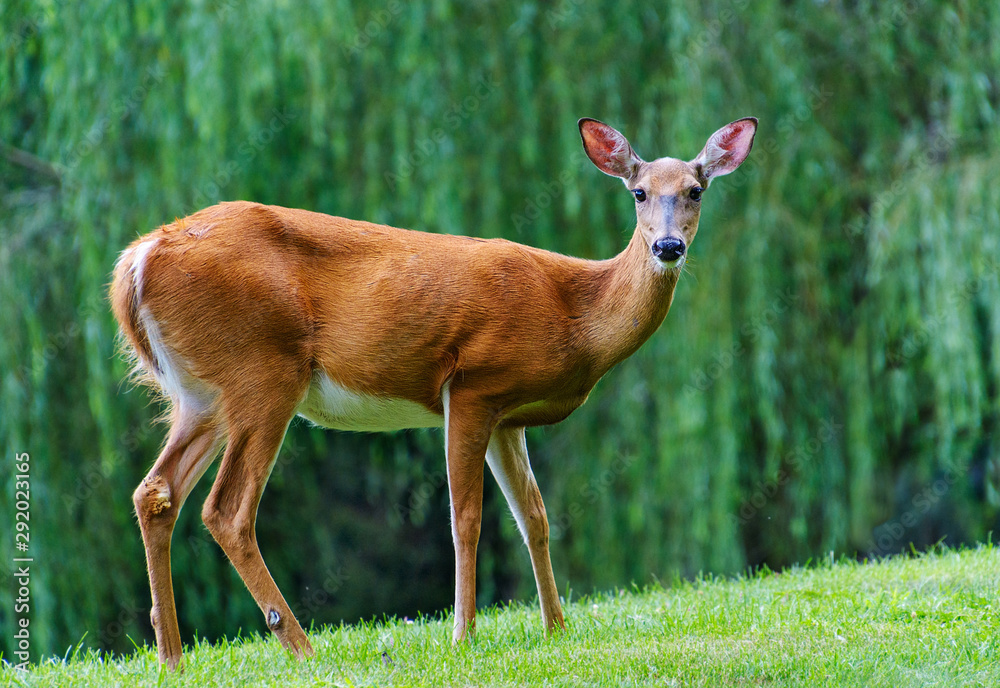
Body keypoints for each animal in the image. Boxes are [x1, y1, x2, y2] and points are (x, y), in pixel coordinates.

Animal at [109, 116, 757, 669]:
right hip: (263, 371)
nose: (668, 247)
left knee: (156, 492)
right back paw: (301, 648)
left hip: (202, 395)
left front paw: (557, 629)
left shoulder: (508, 417)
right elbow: (466, 518)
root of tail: (138, 258)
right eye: (639, 192)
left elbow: (534, 515)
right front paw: (463, 635)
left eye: (696, 190)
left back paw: (171, 658)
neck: (576, 315)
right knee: (227, 509)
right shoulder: (473, 384)